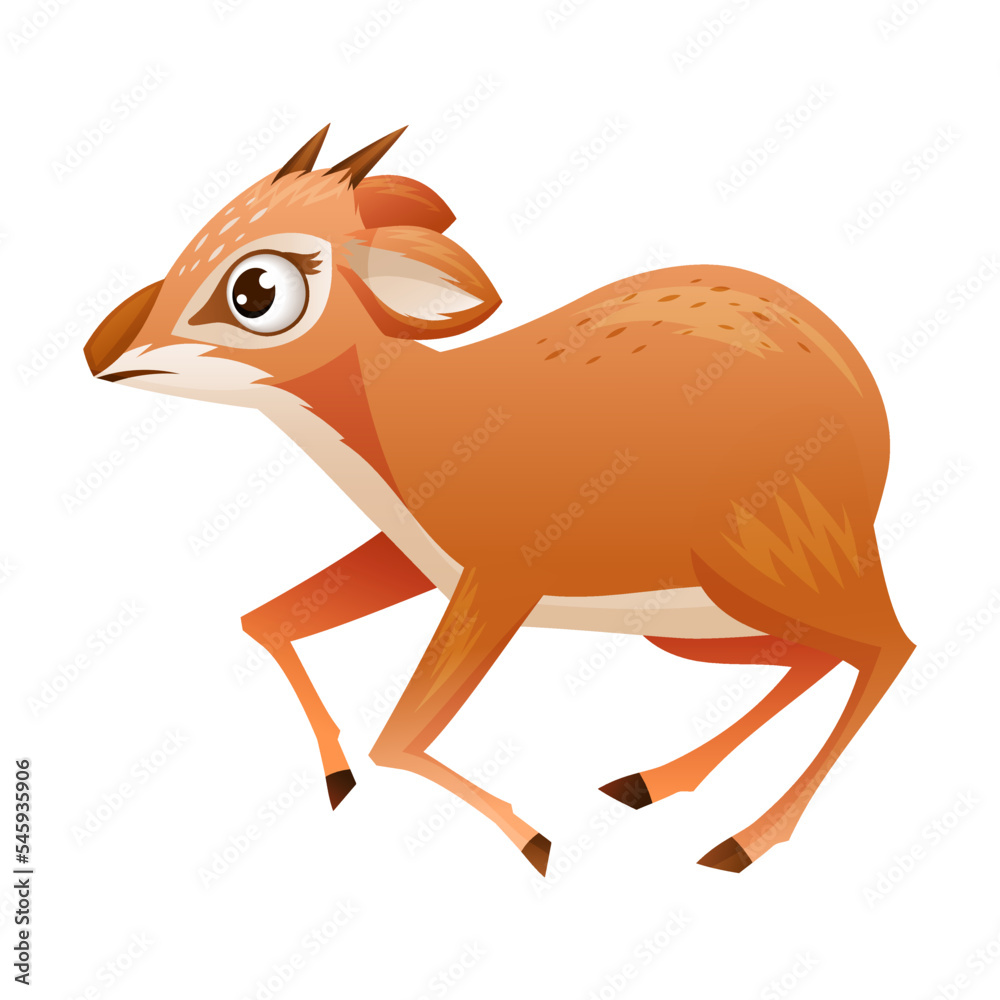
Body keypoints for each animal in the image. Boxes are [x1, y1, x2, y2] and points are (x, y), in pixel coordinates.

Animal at [84, 125, 914, 876]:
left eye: (256, 290)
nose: (98, 352)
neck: (408, 428)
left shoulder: (502, 576)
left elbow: (400, 736)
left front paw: (533, 840)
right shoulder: (419, 560)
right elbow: (267, 622)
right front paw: (335, 775)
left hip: (767, 557)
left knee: (888, 649)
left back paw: (742, 841)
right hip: (697, 618)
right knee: (819, 657)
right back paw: (653, 781)